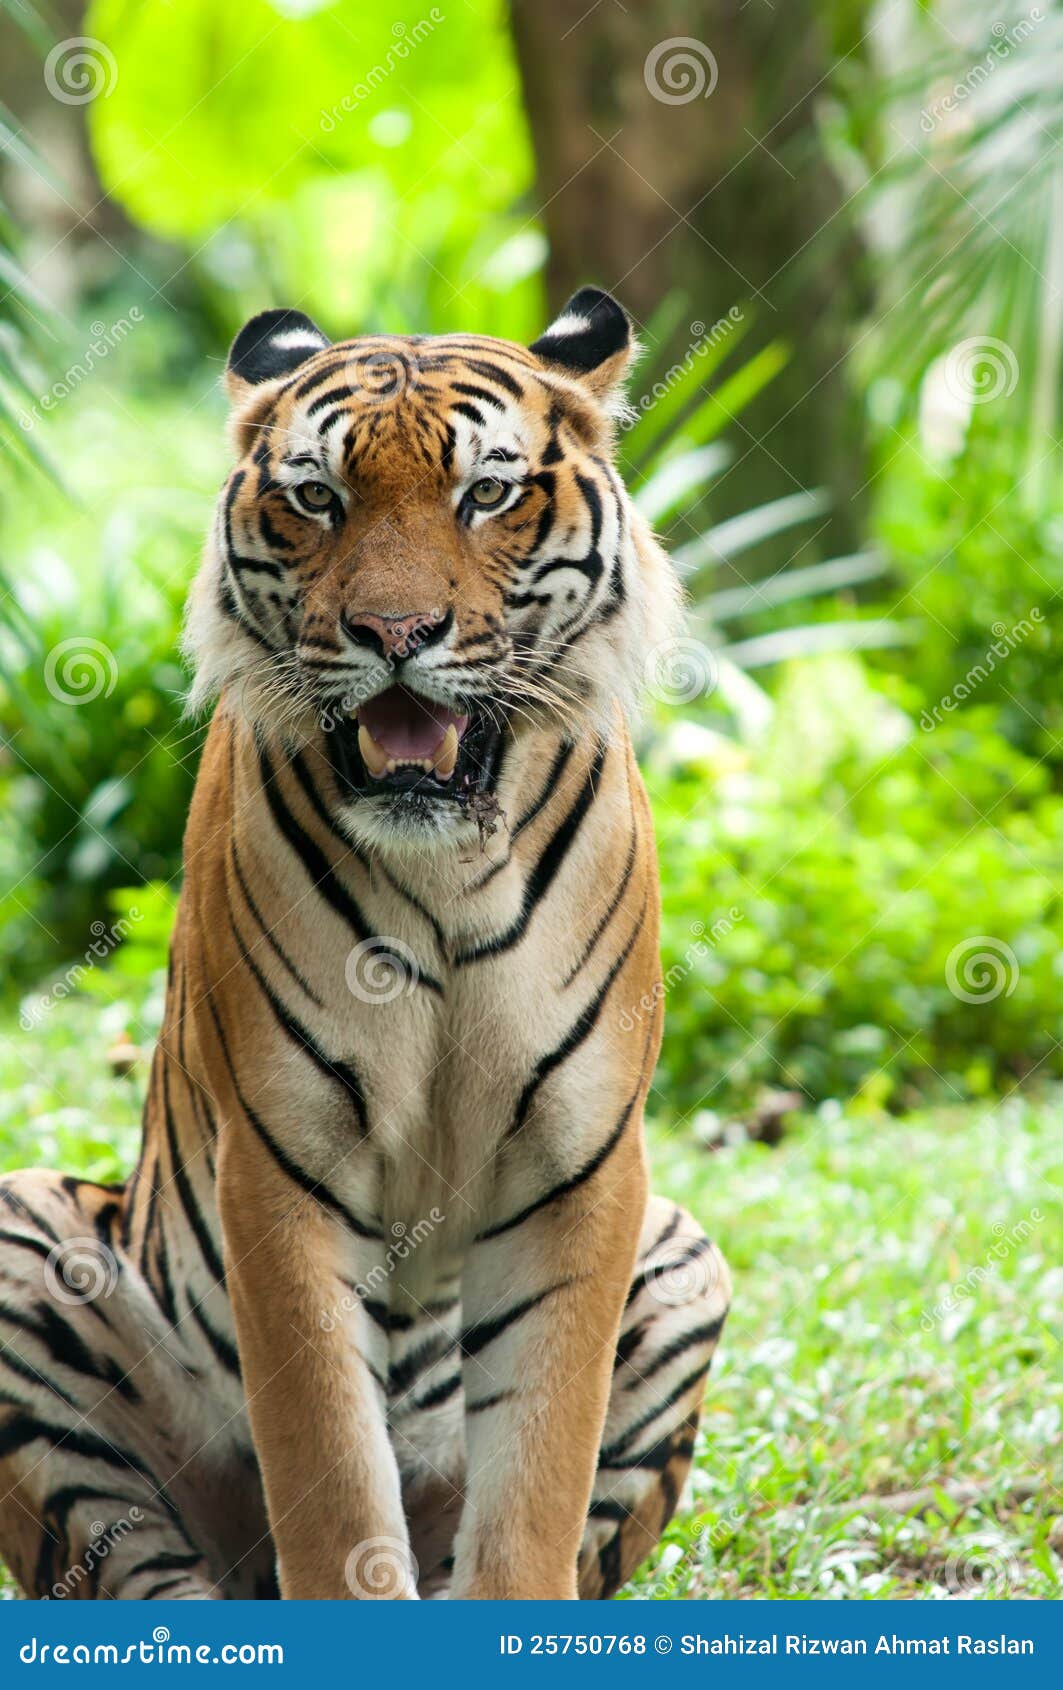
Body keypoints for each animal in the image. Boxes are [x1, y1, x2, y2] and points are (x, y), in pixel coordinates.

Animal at [0, 288, 731, 1600]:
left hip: (684, 1255)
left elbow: (536, 1487)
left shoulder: (579, 1172)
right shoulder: (281, 1168)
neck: (444, 872)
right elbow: (335, 1487)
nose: (395, 630)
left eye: (486, 493)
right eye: (315, 497)